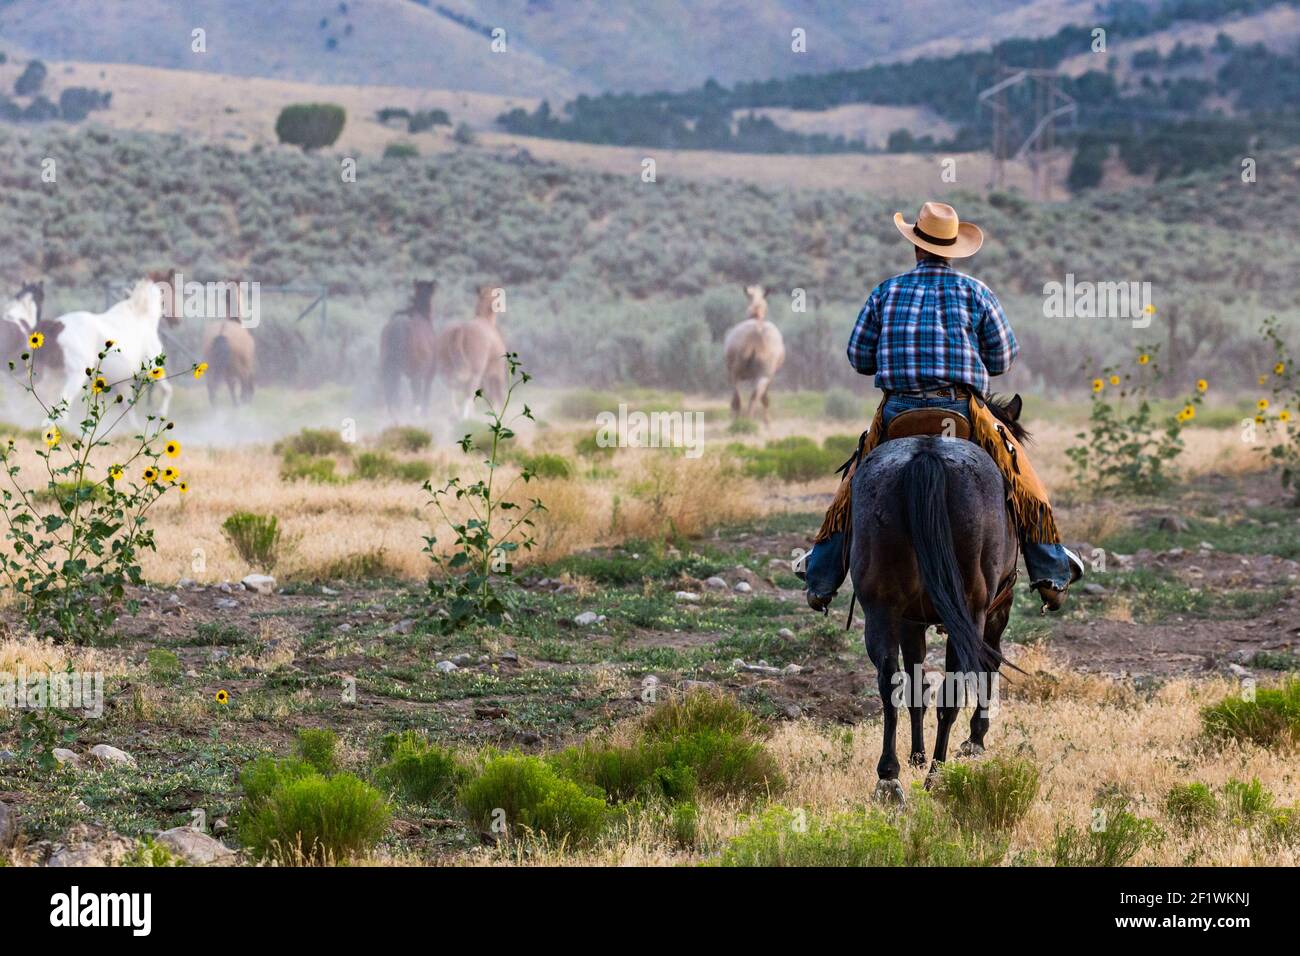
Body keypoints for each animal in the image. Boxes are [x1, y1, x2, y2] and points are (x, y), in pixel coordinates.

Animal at [36, 272, 181, 423]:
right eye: (173, 290)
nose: (177, 320)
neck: (140, 317)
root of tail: (56, 326)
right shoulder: (153, 367)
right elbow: (167, 390)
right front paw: (161, 413)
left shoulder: (123, 381)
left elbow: (129, 409)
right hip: (76, 375)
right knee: (63, 400)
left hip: (54, 374)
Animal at [379, 279, 439, 416]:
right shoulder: (428, 374)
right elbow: (425, 397)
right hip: (415, 372)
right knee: (414, 395)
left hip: (388, 368)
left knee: (390, 393)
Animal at [433, 284, 507, 421]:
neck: (485, 320)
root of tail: (461, 330)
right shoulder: (496, 371)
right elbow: (496, 395)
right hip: (476, 372)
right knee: (469, 391)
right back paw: (465, 418)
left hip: (447, 370)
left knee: (452, 389)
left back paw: (455, 415)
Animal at [723, 284, 785, 424]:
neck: (757, 316)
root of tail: (757, 334)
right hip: (762, 375)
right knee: (755, 396)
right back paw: (751, 420)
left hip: (736, 372)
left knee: (738, 399)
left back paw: (741, 420)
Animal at [848, 395, 1026, 803]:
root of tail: (926, 457)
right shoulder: (996, 612)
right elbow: (988, 666)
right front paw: (975, 740)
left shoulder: (910, 622)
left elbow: (915, 684)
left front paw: (915, 755)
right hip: (971, 611)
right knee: (953, 691)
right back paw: (936, 774)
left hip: (881, 609)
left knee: (889, 682)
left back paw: (890, 777)